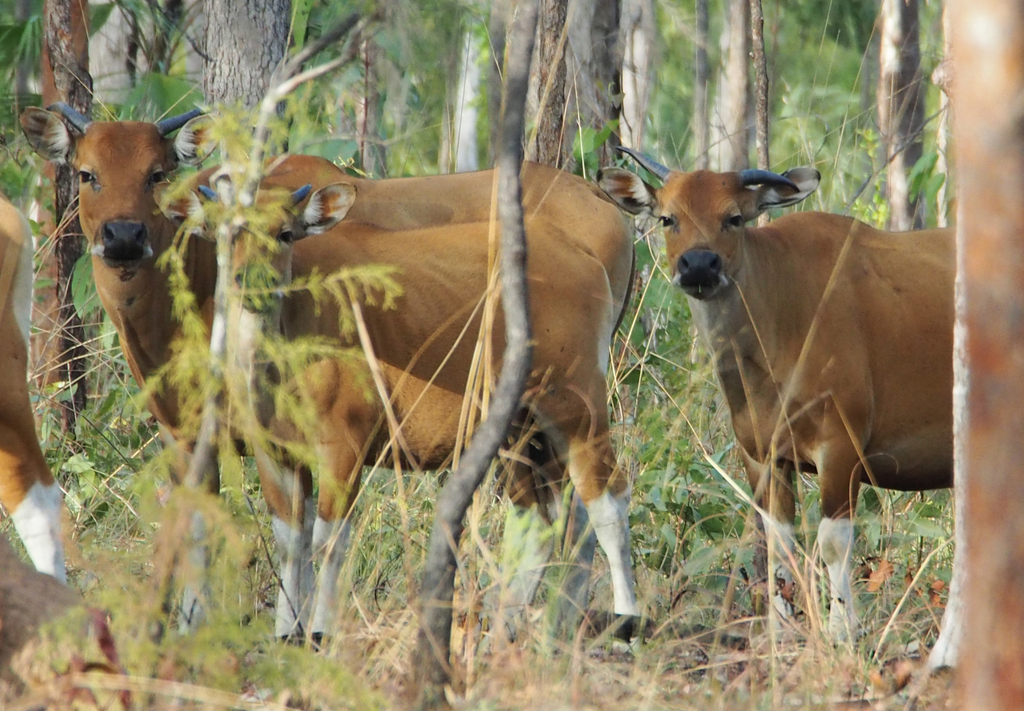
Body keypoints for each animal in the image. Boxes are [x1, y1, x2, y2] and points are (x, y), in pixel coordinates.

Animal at [172, 154, 640, 642]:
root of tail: (580, 254)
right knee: (544, 519)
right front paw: (287, 631)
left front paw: (321, 631)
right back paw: (516, 625)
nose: (253, 281)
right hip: (519, 430)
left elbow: (329, 540)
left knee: (608, 501)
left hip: (577, 405)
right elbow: (290, 540)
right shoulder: (275, 450)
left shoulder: (345, 445)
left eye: (285, 233)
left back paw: (626, 618)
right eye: (227, 233)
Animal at [598, 147, 954, 641]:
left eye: (734, 218)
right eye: (668, 218)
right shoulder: (762, 455)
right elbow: (779, 543)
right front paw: (783, 630)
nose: (699, 265)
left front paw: (842, 630)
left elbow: (832, 544)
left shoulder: (841, 446)